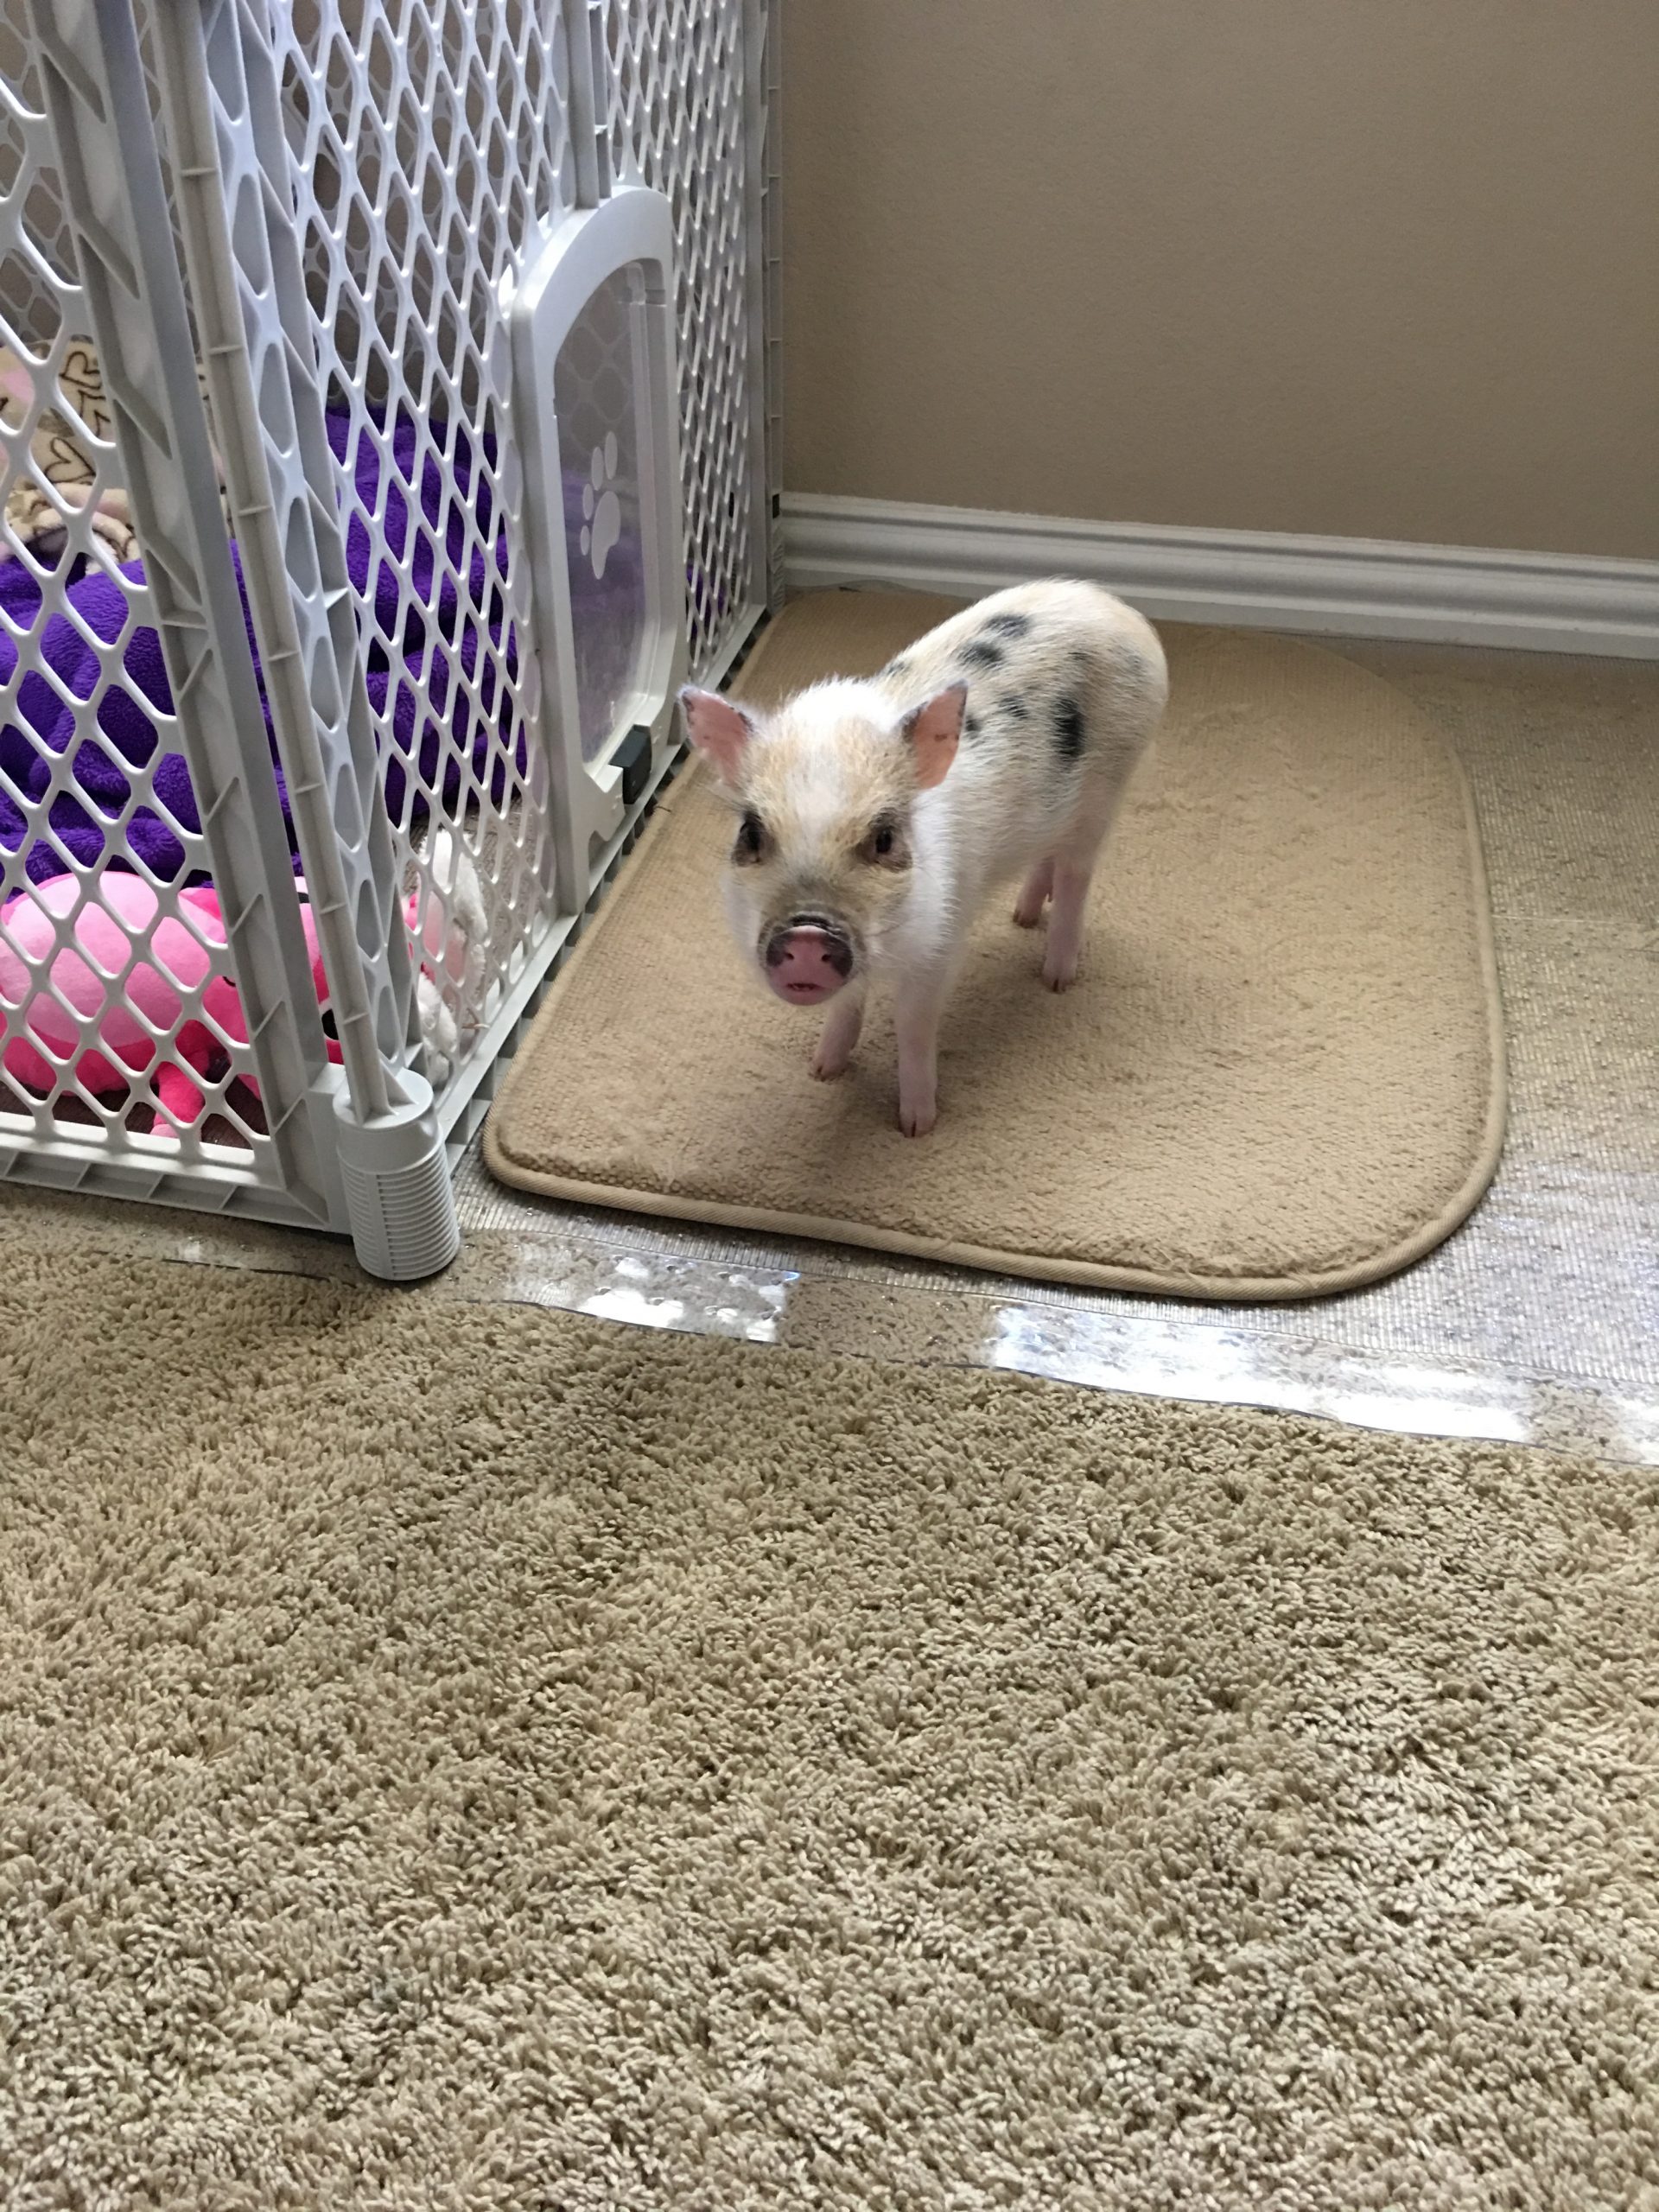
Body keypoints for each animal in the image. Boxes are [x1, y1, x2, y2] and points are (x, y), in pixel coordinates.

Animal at [678, 580, 1167, 1136]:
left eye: (885, 838)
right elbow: (847, 1003)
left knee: (1076, 877)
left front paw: (916, 1127)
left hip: (1106, 795)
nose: (806, 932)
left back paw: (1056, 978)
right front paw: (822, 1071)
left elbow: (913, 1025)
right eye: (752, 832)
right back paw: (1021, 918)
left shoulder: (940, 941)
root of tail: (1109, 603)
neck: (887, 951)